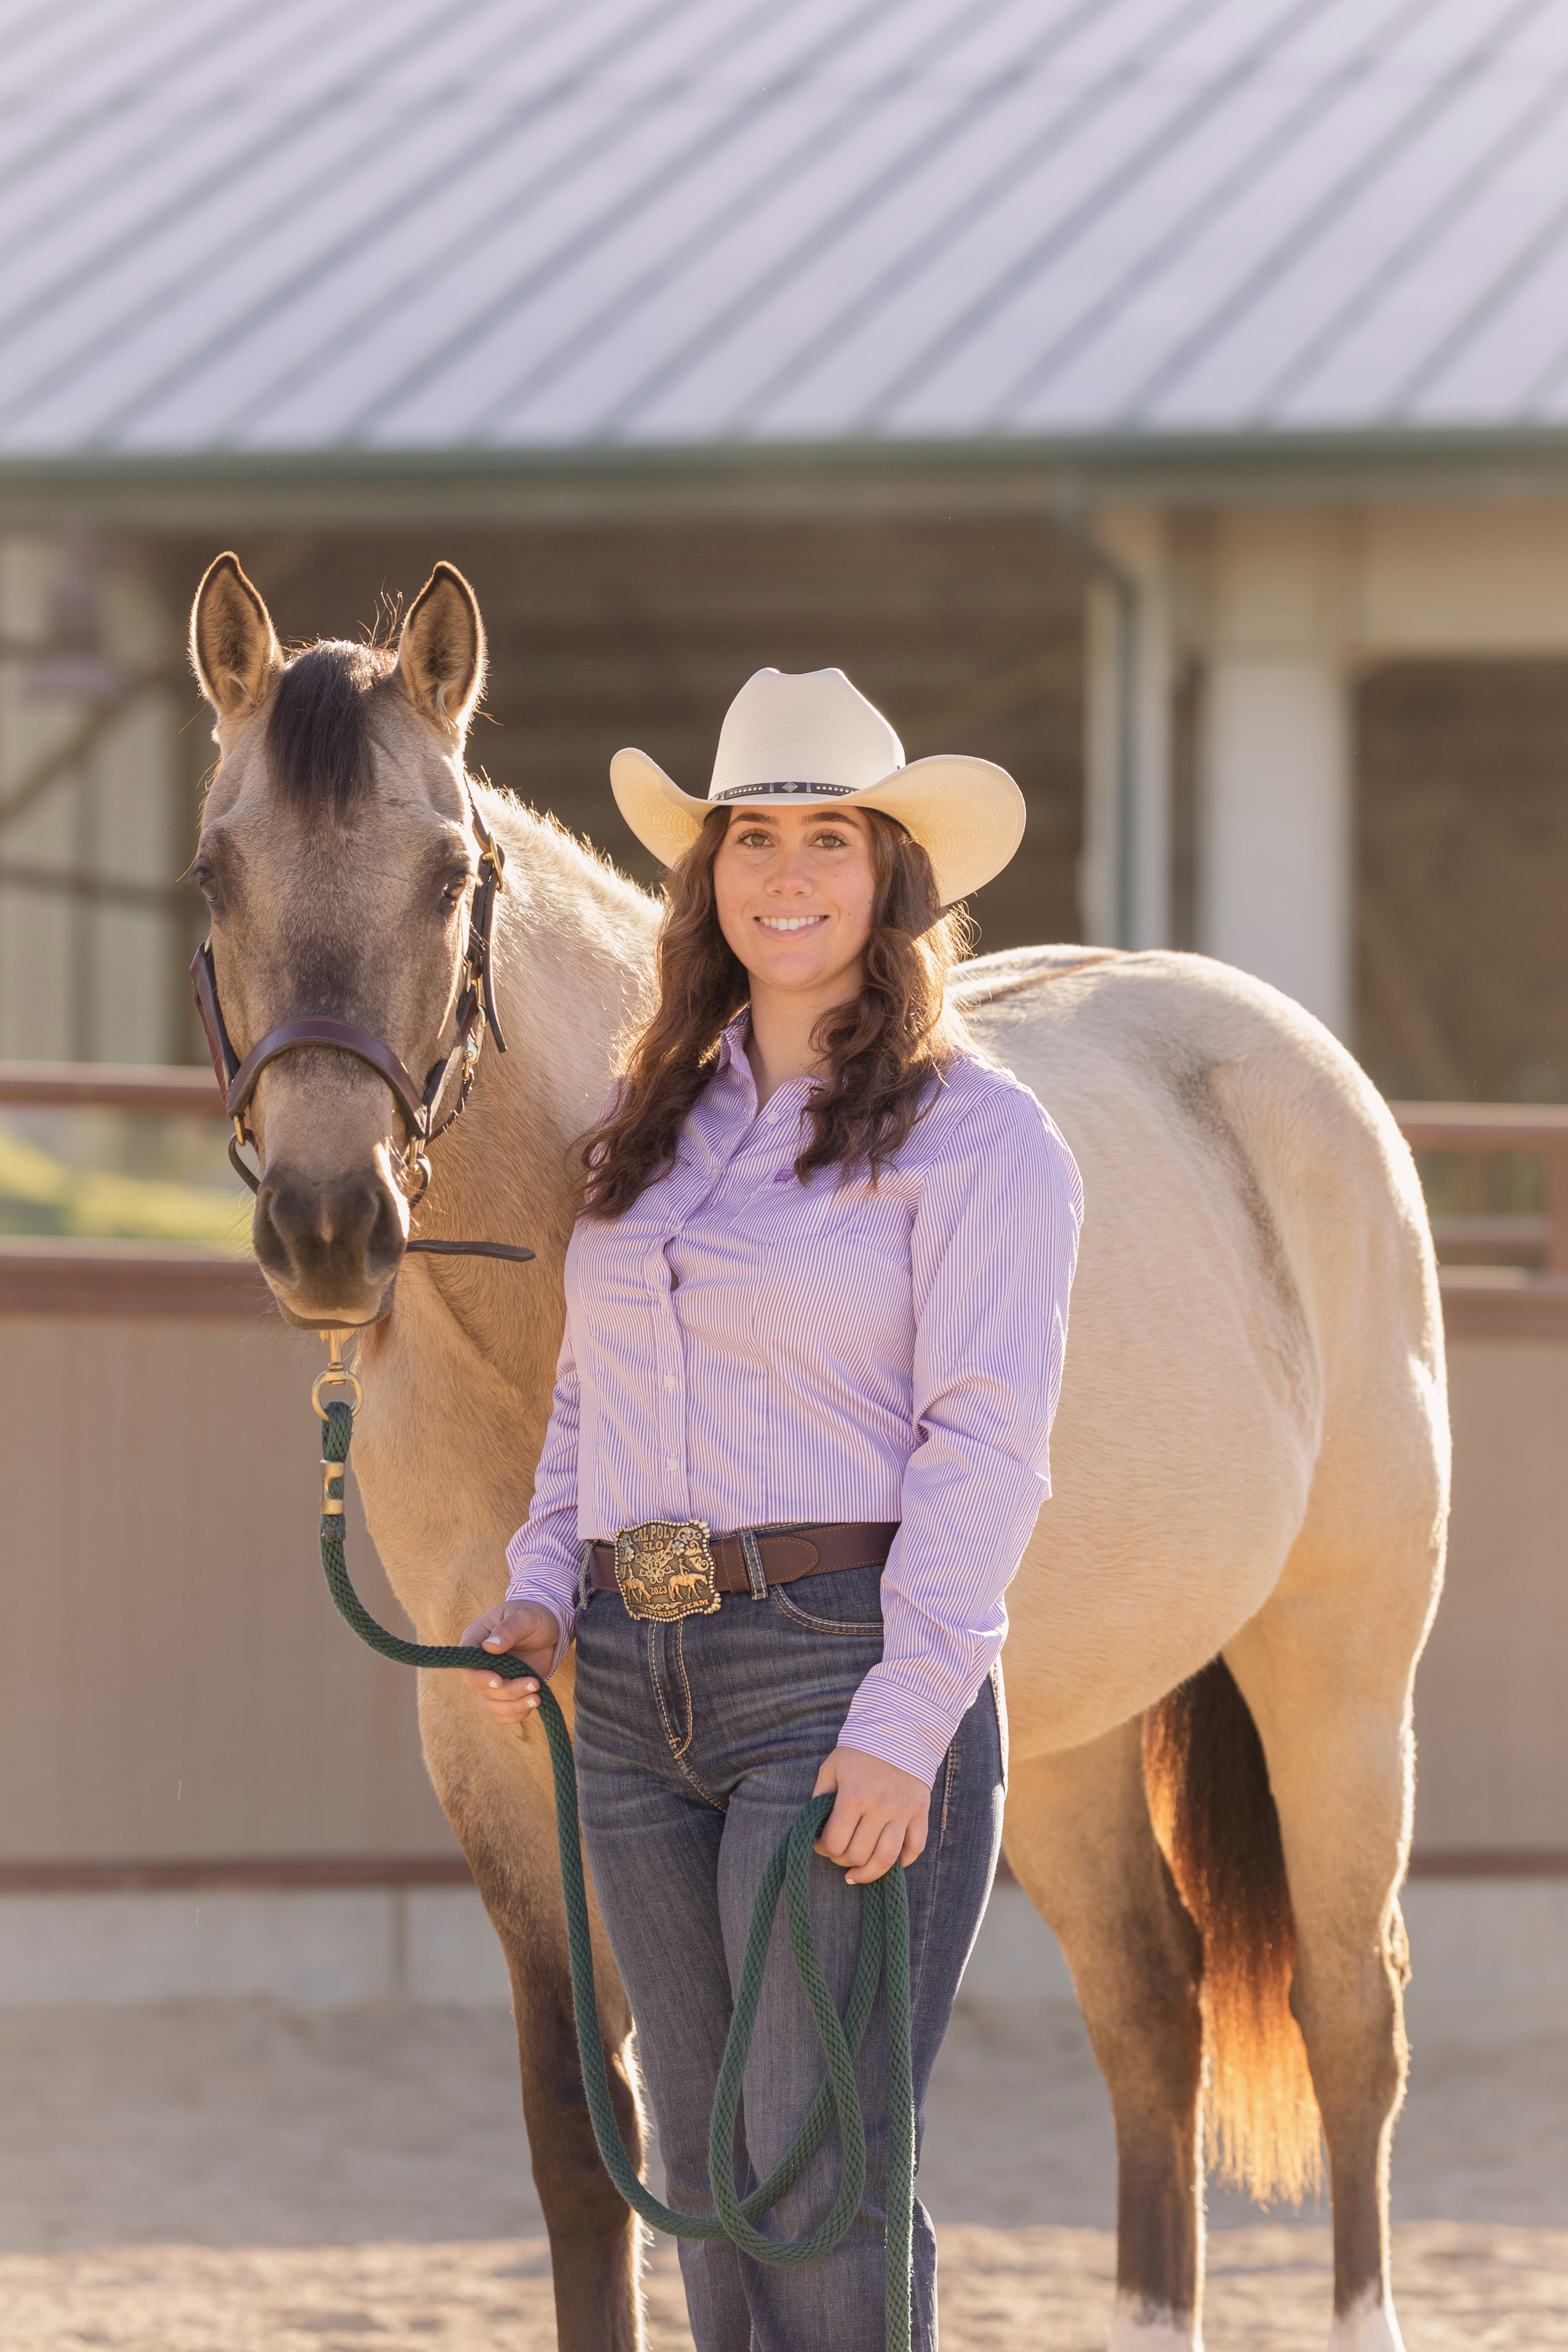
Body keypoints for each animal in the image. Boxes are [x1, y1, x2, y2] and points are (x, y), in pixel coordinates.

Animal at [187, 552, 1445, 2352]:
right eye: (216, 868)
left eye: (446, 876)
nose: (326, 1224)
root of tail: (1299, 1064)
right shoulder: (495, 1746)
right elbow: (586, 2143)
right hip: (1055, 1733)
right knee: (1153, 2007)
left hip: (1332, 1676)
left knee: (1350, 2017)